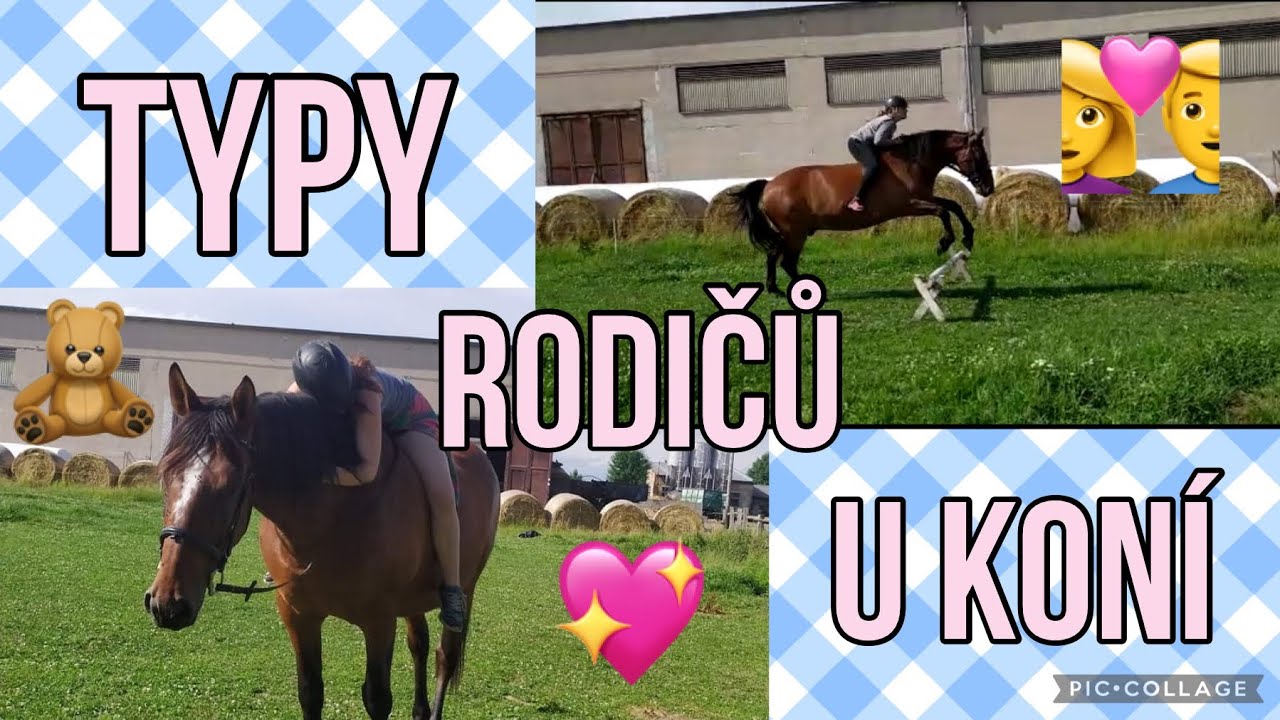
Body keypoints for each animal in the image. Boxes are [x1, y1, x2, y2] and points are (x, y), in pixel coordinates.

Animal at [144, 363, 500, 720]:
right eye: (165, 475)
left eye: (230, 485)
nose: (168, 603)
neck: (328, 521)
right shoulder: (298, 616)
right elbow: (310, 692)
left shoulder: (380, 621)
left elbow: (377, 699)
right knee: (419, 644)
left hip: (465, 588)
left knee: (445, 656)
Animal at [732, 128, 997, 294]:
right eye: (979, 155)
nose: (988, 187)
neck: (910, 163)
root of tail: (769, 185)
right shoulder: (909, 204)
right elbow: (943, 211)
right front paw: (944, 242)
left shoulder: (925, 197)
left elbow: (954, 206)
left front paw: (968, 237)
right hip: (794, 233)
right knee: (787, 262)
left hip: (788, 233)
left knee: (773, 255)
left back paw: (774, 288)